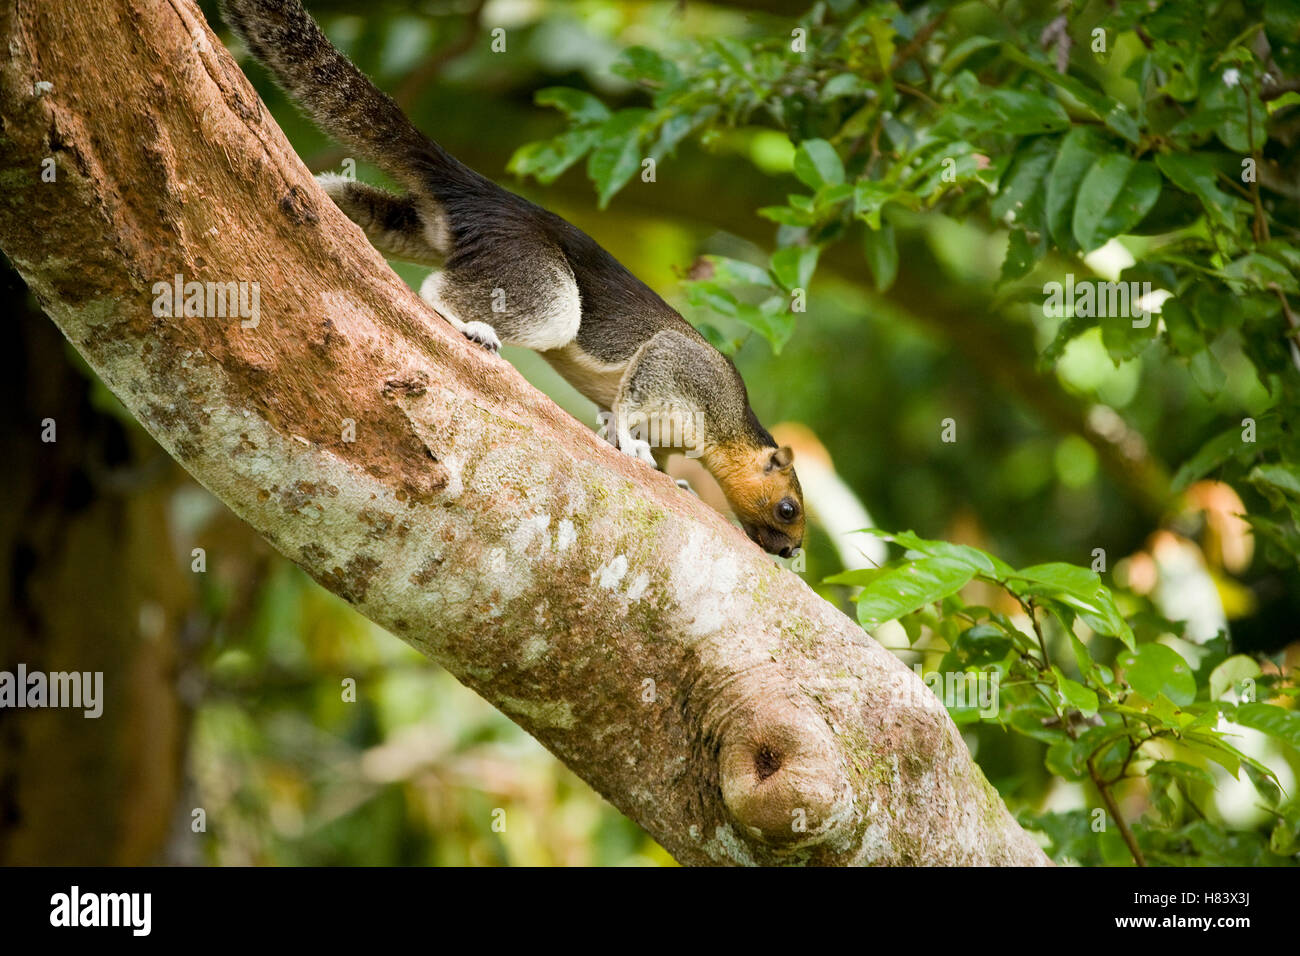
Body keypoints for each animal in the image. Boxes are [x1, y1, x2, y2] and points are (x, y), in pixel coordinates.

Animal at [219, 0, 804, 556]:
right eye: (789, 509)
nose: (790, 553)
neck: (729, 431)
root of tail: (488, 196)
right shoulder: (694, 374)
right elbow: (642, 385)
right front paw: (635, 445)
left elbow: (614, 414)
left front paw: (659, 469)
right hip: (530, 269)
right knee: (457, 293)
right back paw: (471, 326)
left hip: (425, 230)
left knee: (353, 205)